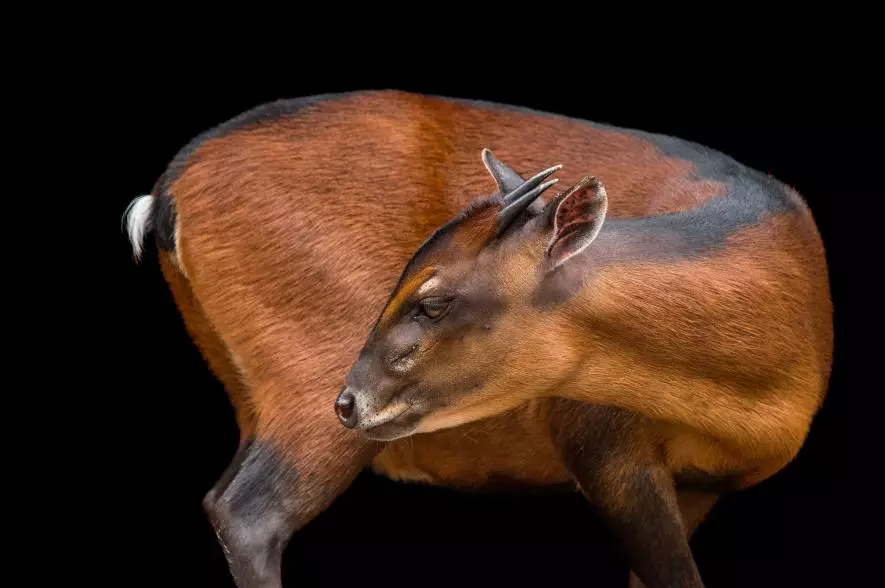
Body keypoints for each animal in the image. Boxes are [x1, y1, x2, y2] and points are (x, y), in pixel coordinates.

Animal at [122, 88, 828, 588]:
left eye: (433, 300)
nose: (349, 401)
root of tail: (165, 196)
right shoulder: (600, 436)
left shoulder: (700, 486)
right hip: (305, 375)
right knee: (249, 512)